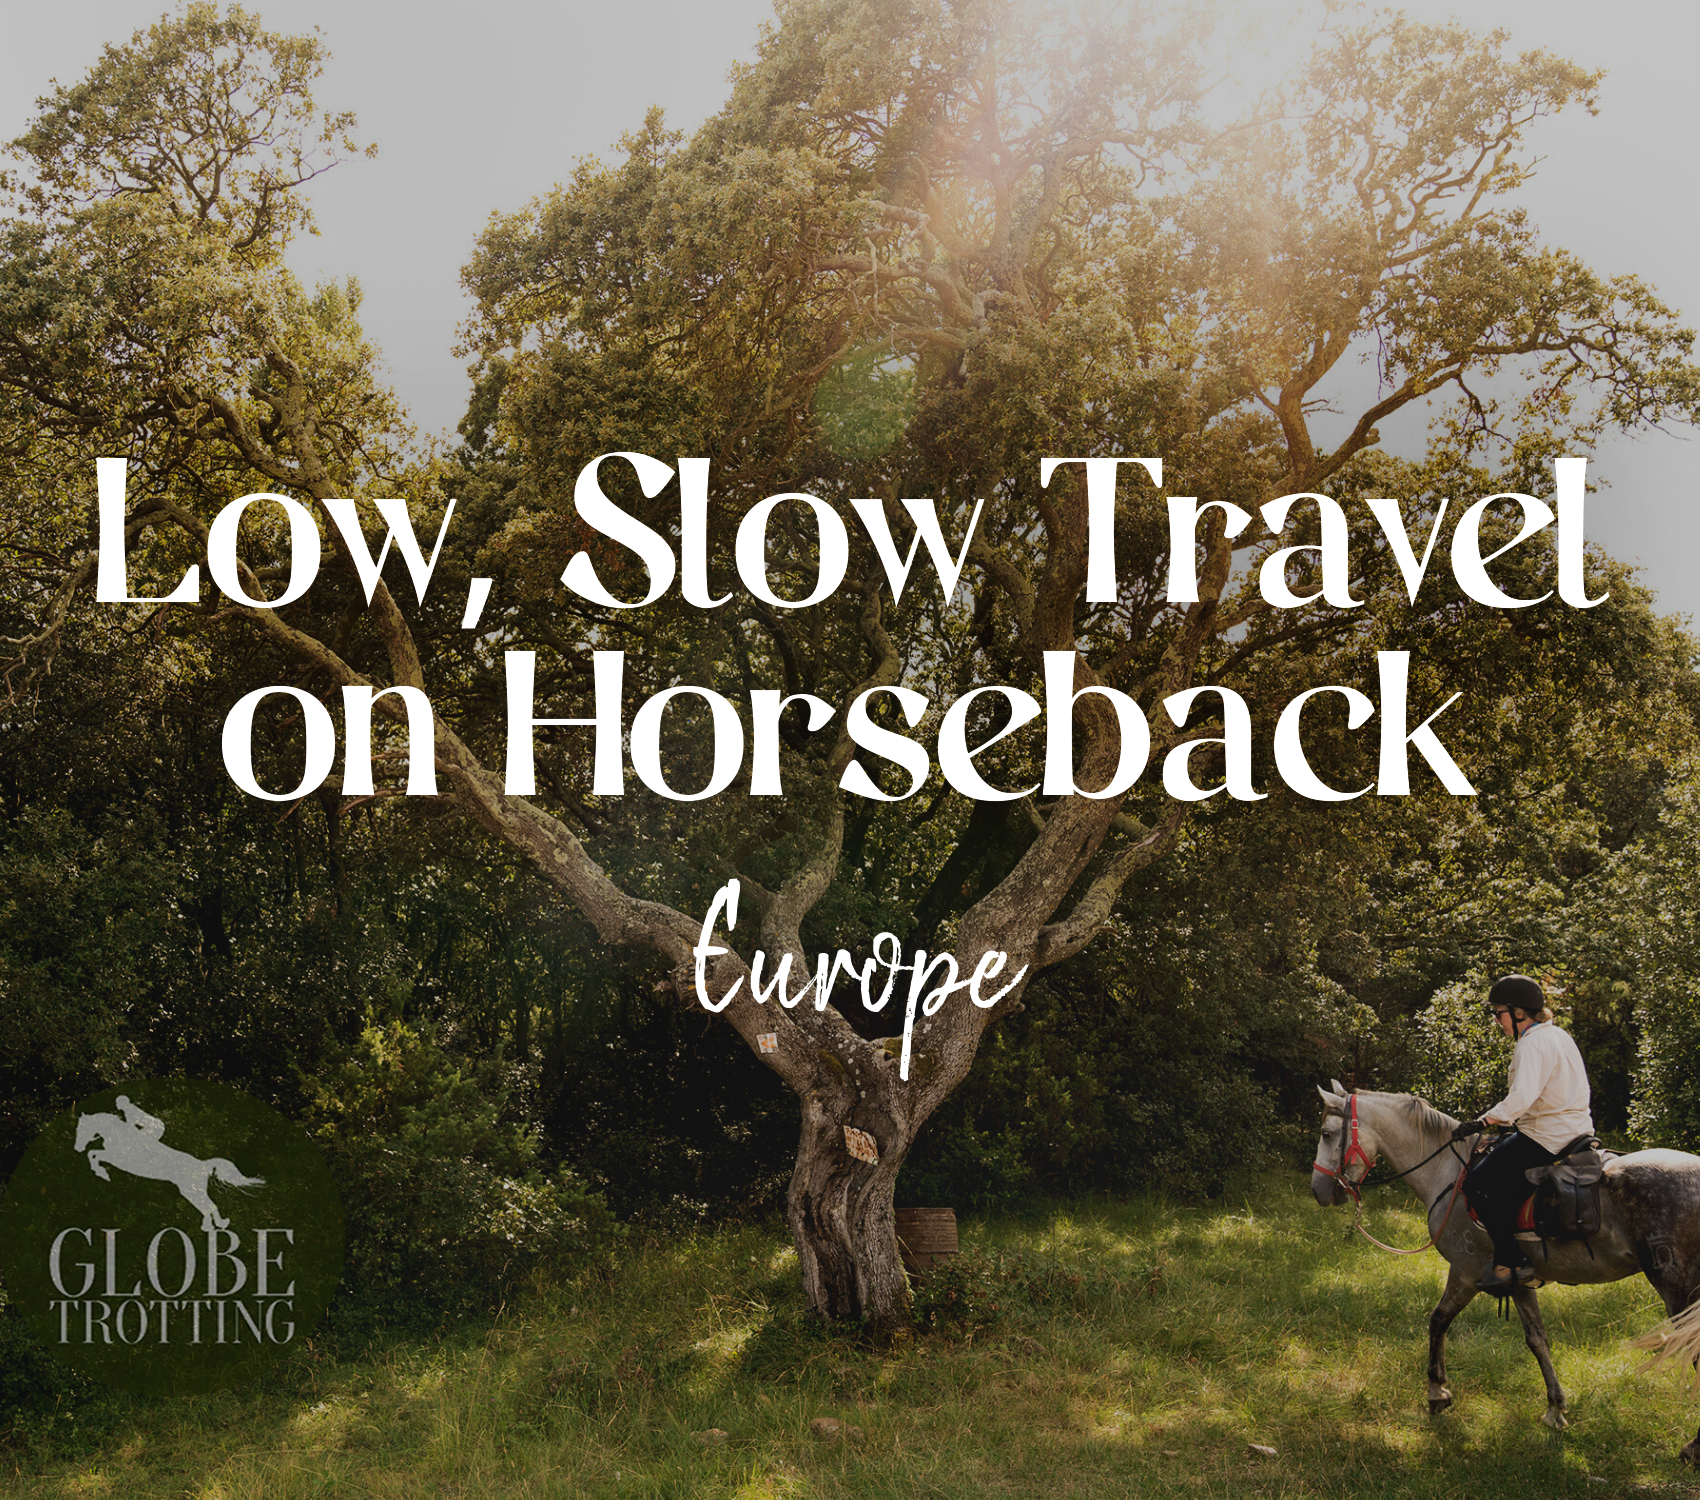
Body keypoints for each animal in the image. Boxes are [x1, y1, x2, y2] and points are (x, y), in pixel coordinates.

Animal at [74, 1111, 265, 1232]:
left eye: (82, 1129)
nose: (77, 1149)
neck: (120, 1136)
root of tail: (202, 1166)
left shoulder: (118, 1159)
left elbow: (94, 1154)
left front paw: (102, 1173)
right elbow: (94, 1153)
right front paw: (100, 1172)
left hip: (191, 1191)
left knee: (209, 1206)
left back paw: (214, 1226)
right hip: (192, 1192)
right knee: (208, 1206)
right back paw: (212, 1226)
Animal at [1311, 1082, 1700, 1466]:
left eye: (1327, 1133)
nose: (1318, 1191)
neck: (1447, 1174)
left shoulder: (1465, 1272)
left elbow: (1438, 1321)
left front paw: (1437, 1391)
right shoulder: (1520, 1281)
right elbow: (1537, 1340)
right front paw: (1555, 1408)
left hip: (1678, 1290)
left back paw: (1692, 1447)